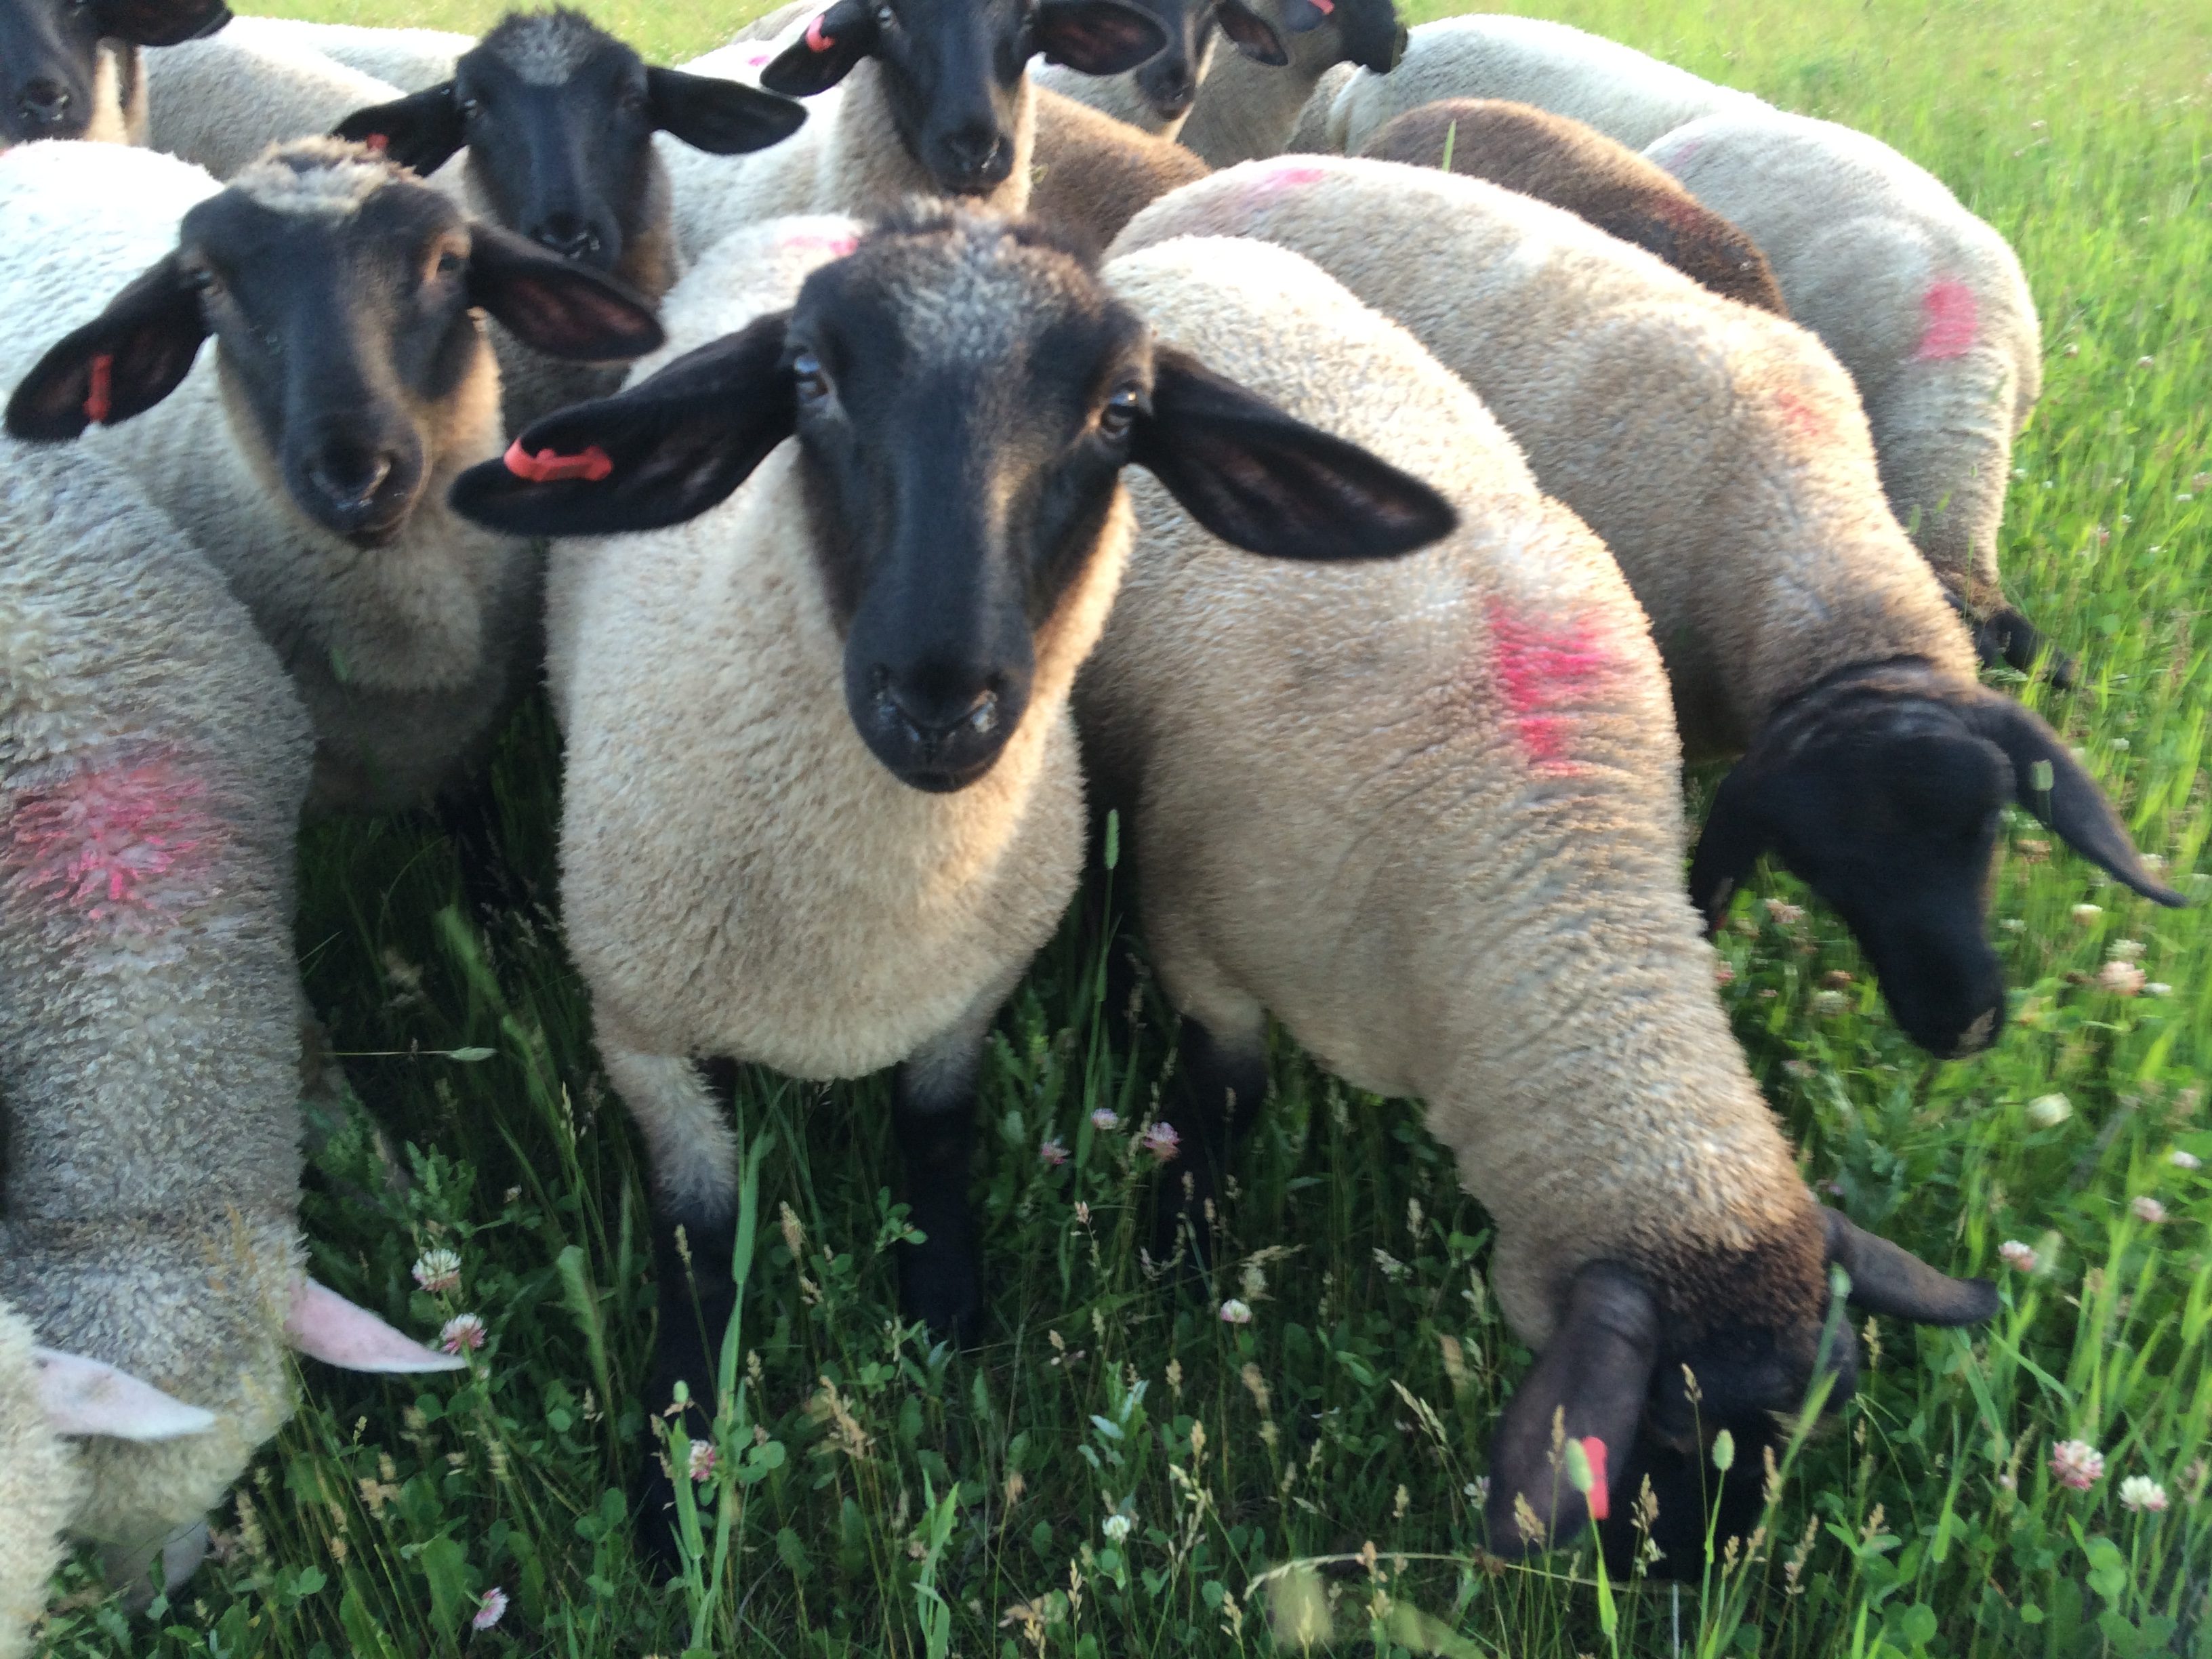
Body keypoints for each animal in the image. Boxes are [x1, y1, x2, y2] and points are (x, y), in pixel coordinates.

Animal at [444, 204, 1453, 1564]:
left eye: (1120, 413)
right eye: (807, 379)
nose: (939, 697)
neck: (860, 941)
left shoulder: (964, 997)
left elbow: (935, 1137)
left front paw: (943, 1320)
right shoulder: (642, 1028)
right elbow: (696, 1236)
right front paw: (677, 1476)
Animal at [1079, 230, 1996, 1568]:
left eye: (1811, 1421)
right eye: (1669, 1429)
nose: (1697, 1584)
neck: (1557, 902)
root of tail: (1189, 241)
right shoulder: (1204, 936)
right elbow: (1220, 1103)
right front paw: (1174, 1263)